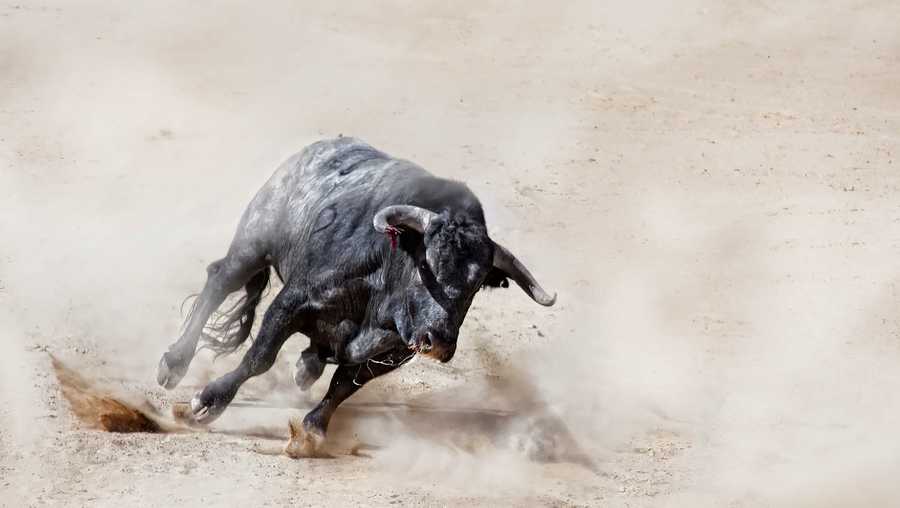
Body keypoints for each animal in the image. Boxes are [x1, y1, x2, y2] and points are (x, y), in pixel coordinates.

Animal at [156, 137, 556, 455]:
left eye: (475, 284)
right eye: (426, 265)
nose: (439, 341)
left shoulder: (392, 353)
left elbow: (343, 385)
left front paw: (312, 433)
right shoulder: (293, 302)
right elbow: (259, 357)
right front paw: (207, 402)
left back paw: (307, 366)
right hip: (253, 244)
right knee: (219, 281)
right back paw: (173, 363)